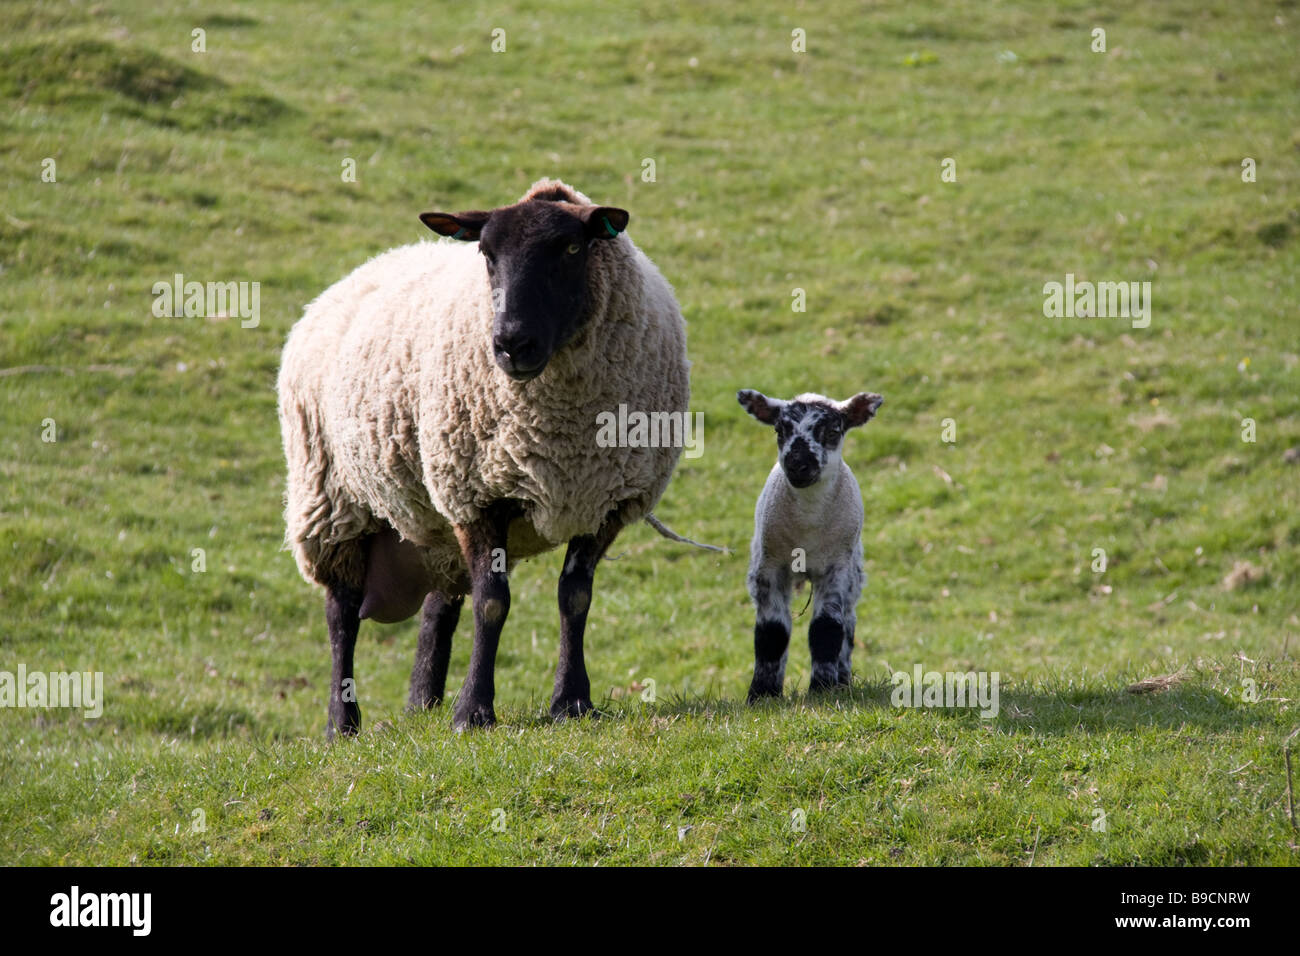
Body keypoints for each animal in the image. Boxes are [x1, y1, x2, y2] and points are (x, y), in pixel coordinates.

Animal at [277, 178, 693, 734]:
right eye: (485, 253)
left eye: (571, 248)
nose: (512, 344)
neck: (562, 426)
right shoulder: (476, 496)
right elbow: (493, 603)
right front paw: (473, 711)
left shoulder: (605, 499)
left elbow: (574, 597)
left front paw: (572, 702)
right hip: (333, 500)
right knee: (341, 614)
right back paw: (342, 723)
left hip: (433, 525)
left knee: (439, 606)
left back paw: (422, 703)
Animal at [736, 389, 884, 701]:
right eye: (779, 430)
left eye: (832, 431)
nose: (797, 465)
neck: (808, 524)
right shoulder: (769, 567)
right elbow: (772, 632)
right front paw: (762, 694)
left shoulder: (836, 568)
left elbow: (826, 628)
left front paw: (822, 690)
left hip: (853, 572)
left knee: (848, 624)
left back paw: (842, 680)